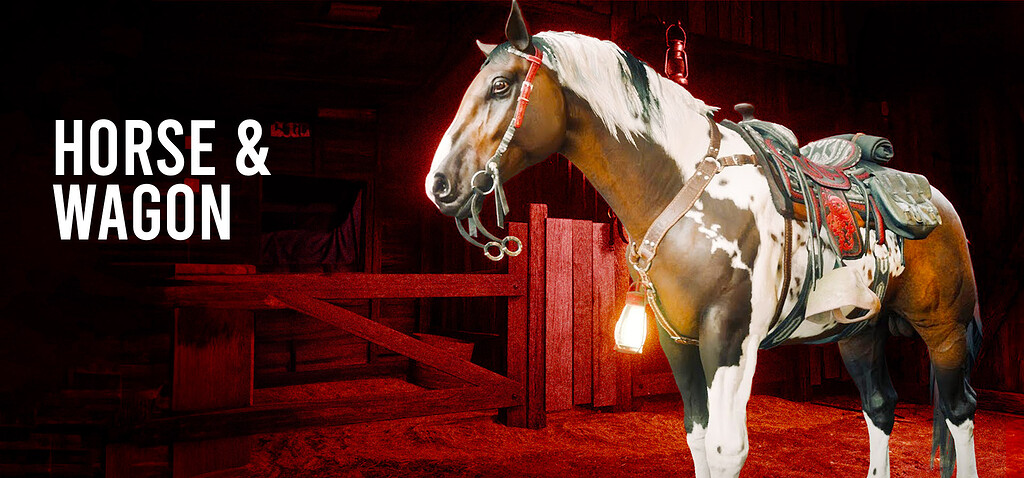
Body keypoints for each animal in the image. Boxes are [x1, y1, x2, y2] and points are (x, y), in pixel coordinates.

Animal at [424, 3, 981, 477]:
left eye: (500, 85)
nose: (439, 183)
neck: (687, 187)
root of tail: (939, 203)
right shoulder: (678, 339)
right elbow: (697, 438)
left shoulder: (730, 338)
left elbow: (725, 449)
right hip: (860, 330)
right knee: (880, 407)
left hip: (944, 330)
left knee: (960, 411)